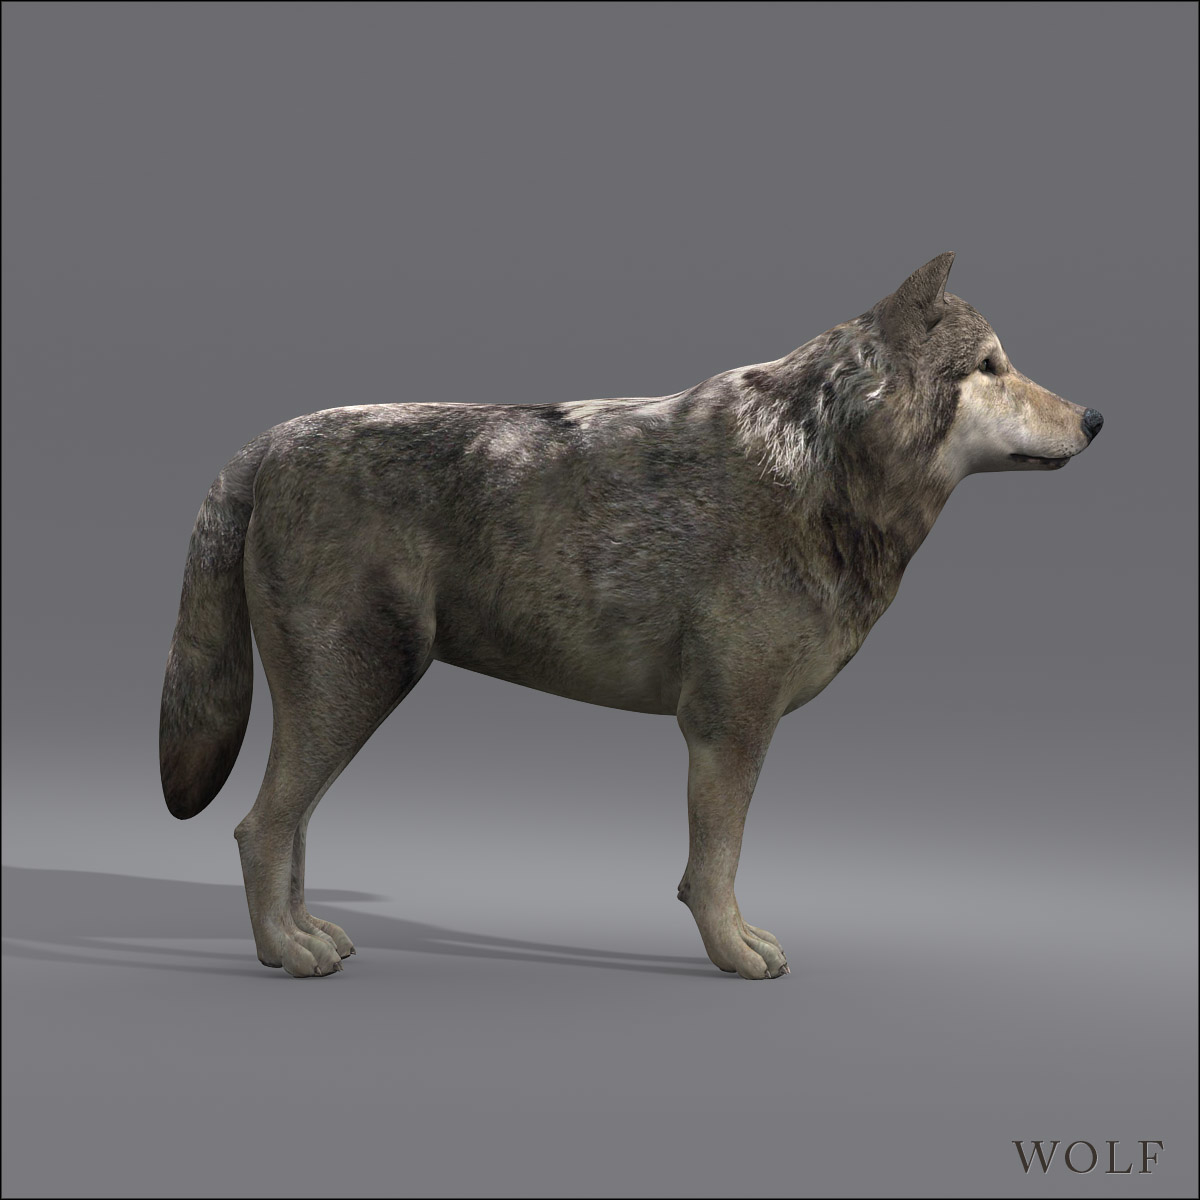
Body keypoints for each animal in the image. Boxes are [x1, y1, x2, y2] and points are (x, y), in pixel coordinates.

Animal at [160, 253, 1103, 979]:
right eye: (990, 366)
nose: (1096, 417)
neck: (822, 463)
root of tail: (267, 443)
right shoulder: (729, 723)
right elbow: (713, 866)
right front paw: (734, 956)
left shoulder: (729, 726)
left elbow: (713, 864)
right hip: (356, 692)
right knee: (258, 828)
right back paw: (287, 954)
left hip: (345, 704)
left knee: (292, 828)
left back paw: (305, 936)